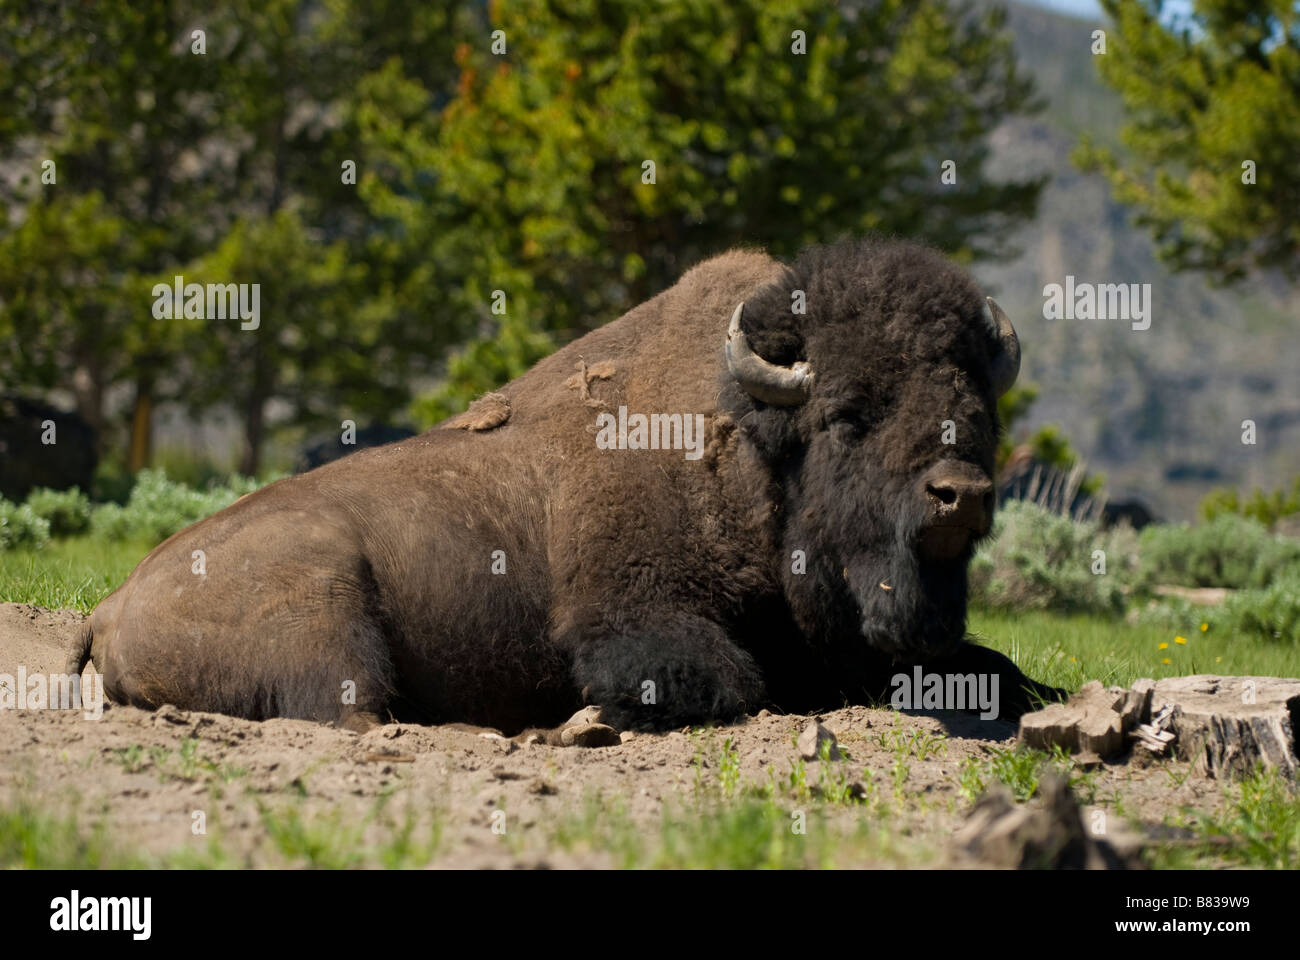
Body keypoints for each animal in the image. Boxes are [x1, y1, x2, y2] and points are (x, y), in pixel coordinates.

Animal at [70, 238, 1064, 740]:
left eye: (975, 411)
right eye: (847, 414)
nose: (960, 494)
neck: (748, 446)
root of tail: (112, 601)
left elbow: (997, 670)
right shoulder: (630, 620)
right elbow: (726, 681)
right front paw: (586, 716)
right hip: (328, 615)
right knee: (353, 713)